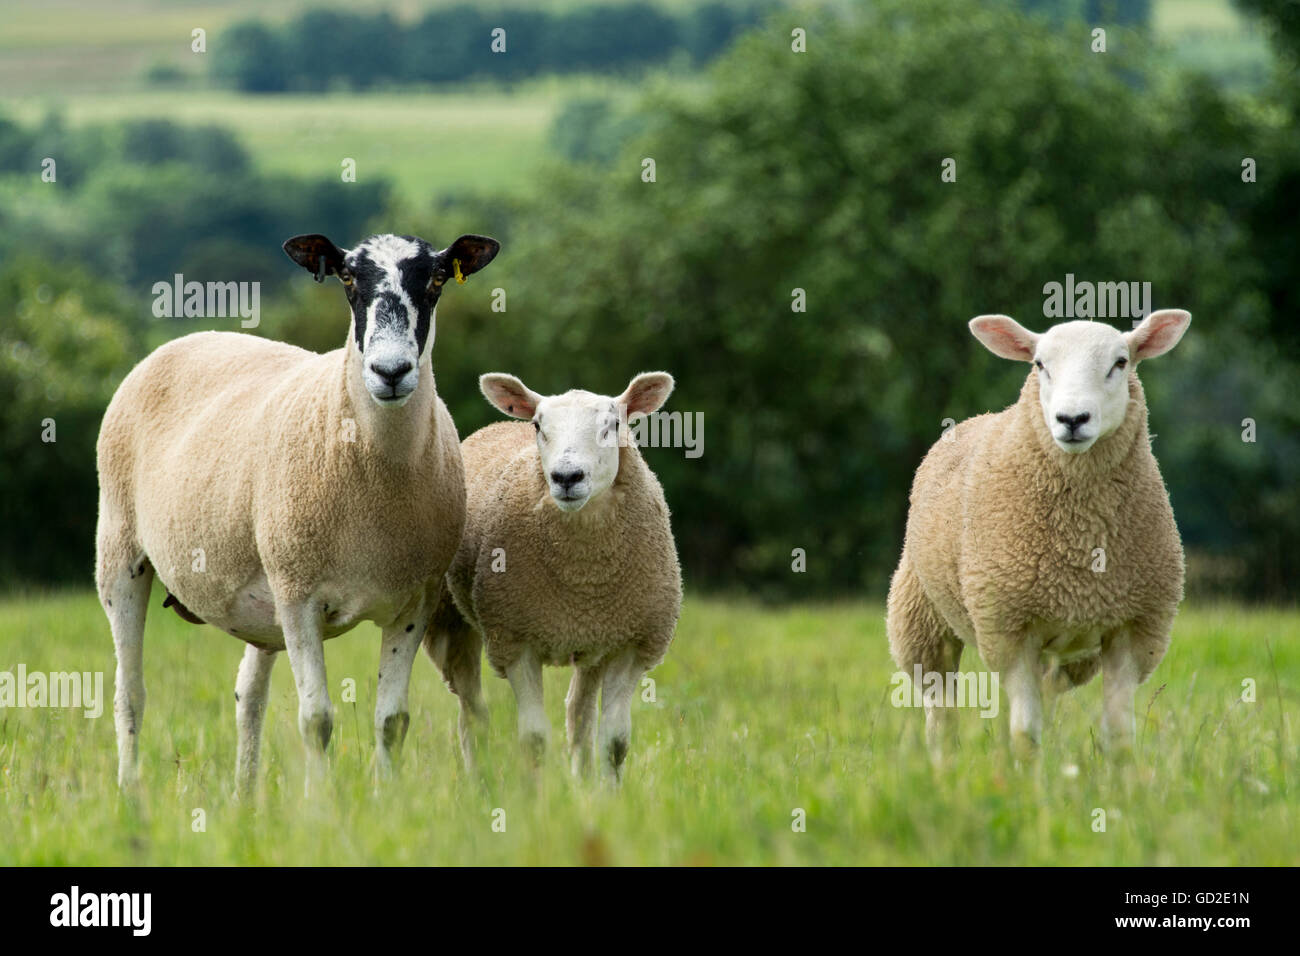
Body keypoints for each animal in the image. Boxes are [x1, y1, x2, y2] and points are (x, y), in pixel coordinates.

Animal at [95, 230, 499, 794]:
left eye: (438, 279)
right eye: (347, 278)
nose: (390, 372)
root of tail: (189, 337)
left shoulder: (413, 605)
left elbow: (391, 721)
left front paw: (386, 800)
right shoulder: (299, 597)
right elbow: (317, 720)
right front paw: (319, 806)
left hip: (261, 591)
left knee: (248, 696)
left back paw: (244, 799)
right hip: (121, 550)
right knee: (129, 695)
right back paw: (130, 796)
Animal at [424, 371, 682, 780]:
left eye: (613, 424)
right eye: (538, 425)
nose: (566, 477)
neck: (584, 580)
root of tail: (497, 426)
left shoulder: (631, 644)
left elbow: (614, 743)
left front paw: (607, 795)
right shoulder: (516, 642)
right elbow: (534, 740)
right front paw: (536, 794)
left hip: (595, 644)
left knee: (578, 714)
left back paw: (582, 782)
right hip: (450, 623)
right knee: (472, 713)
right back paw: (478, 781)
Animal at [886, 309, 1191, 759]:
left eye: (1120, 363)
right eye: (1040, 364)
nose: (1072, 419)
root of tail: (979, 417)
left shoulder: (1133, 630)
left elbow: (1119, 736)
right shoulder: (1010, 630)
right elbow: (1024, 734)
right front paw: (1026, 775)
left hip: (1072, 654)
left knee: (1047, 695)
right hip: (920, 615)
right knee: (940, 707)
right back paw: (943, 763)